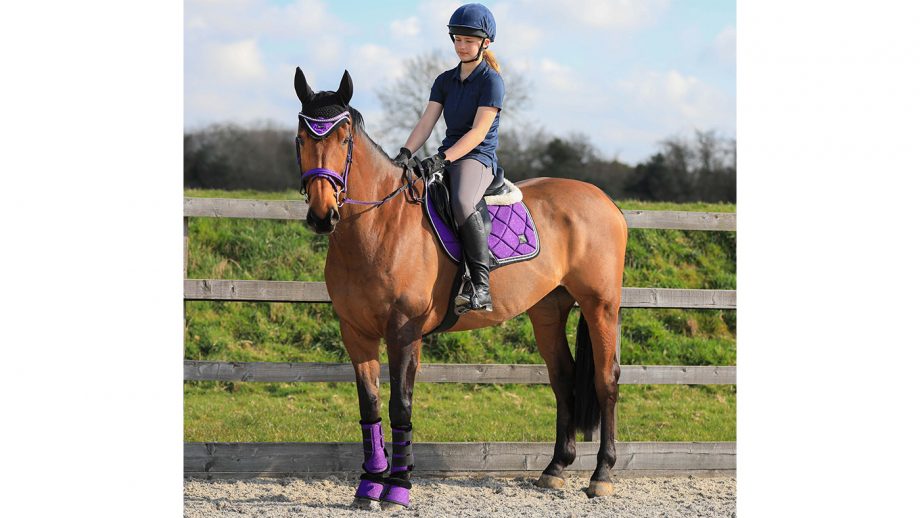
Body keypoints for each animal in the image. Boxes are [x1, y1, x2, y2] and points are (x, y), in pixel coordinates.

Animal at [293, 68, 628, 508]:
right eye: (301, 138)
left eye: (344, 139)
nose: (322, 215)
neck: (378, 226)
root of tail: (605, 200)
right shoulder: (356, 332)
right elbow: (370, 405)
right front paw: (368, 484)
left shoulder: (404, 331)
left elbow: (401, 406)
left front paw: (398, 488)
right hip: (548, 310)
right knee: (563, 377)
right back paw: (555, 469)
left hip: (600, 305)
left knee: (605, 380)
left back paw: (601, 474)